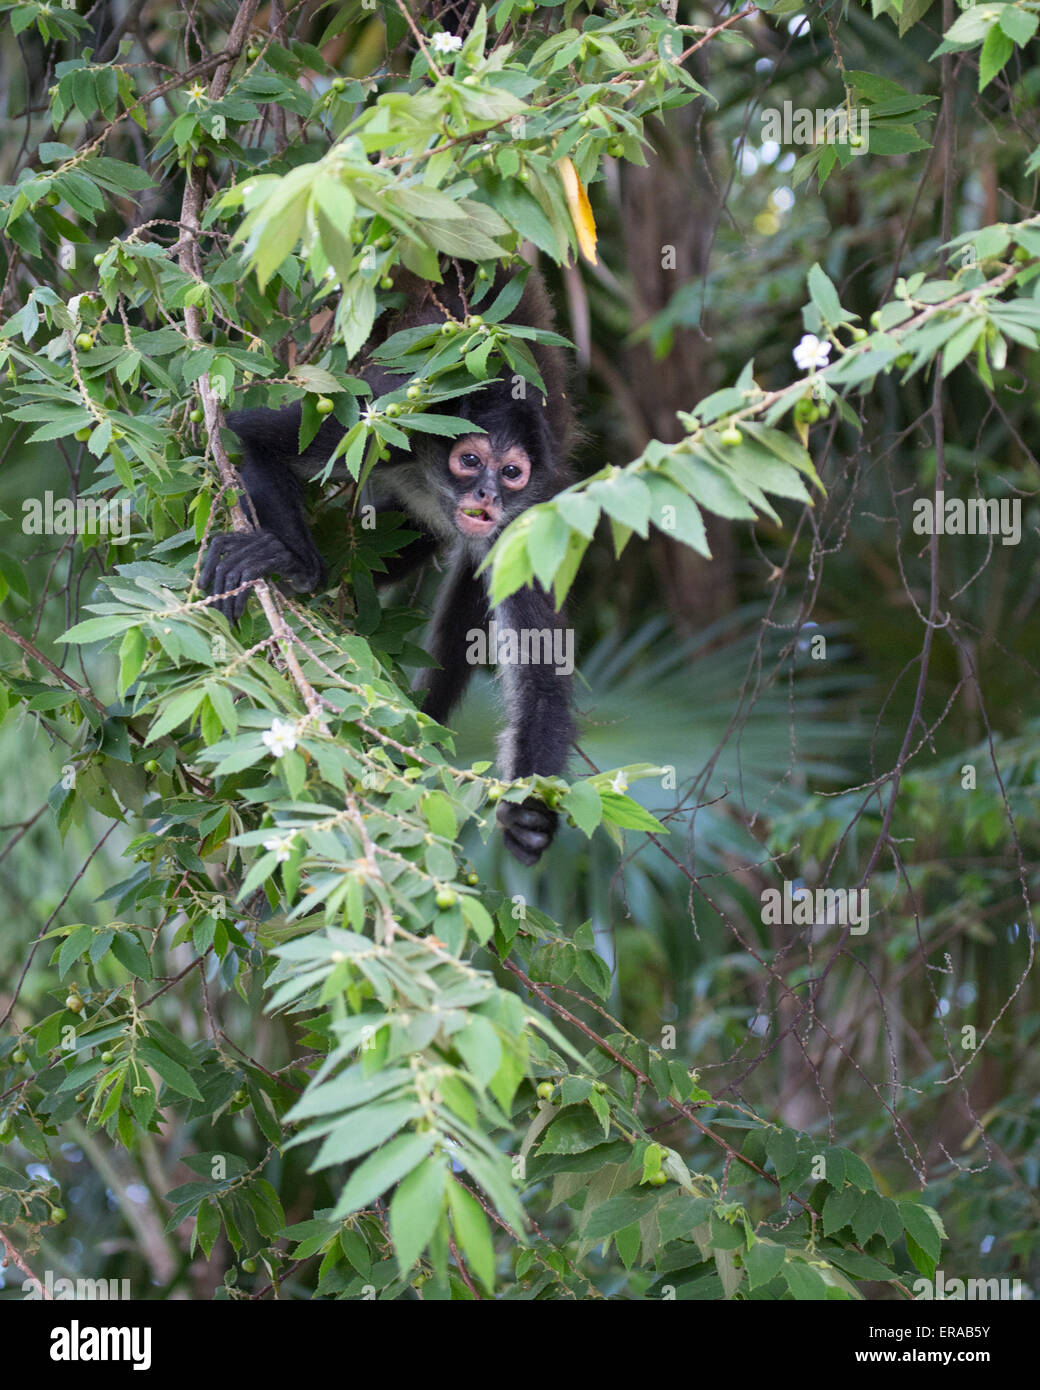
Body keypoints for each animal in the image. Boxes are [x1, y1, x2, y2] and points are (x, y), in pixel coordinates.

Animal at [201, 268, 576, 865]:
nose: (488, 495)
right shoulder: (395, 423)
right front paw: (292, 559)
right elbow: (251, 437)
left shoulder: (526, 519)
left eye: (511, 473)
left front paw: (530, 818)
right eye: (471, 461)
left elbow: (542, 679)